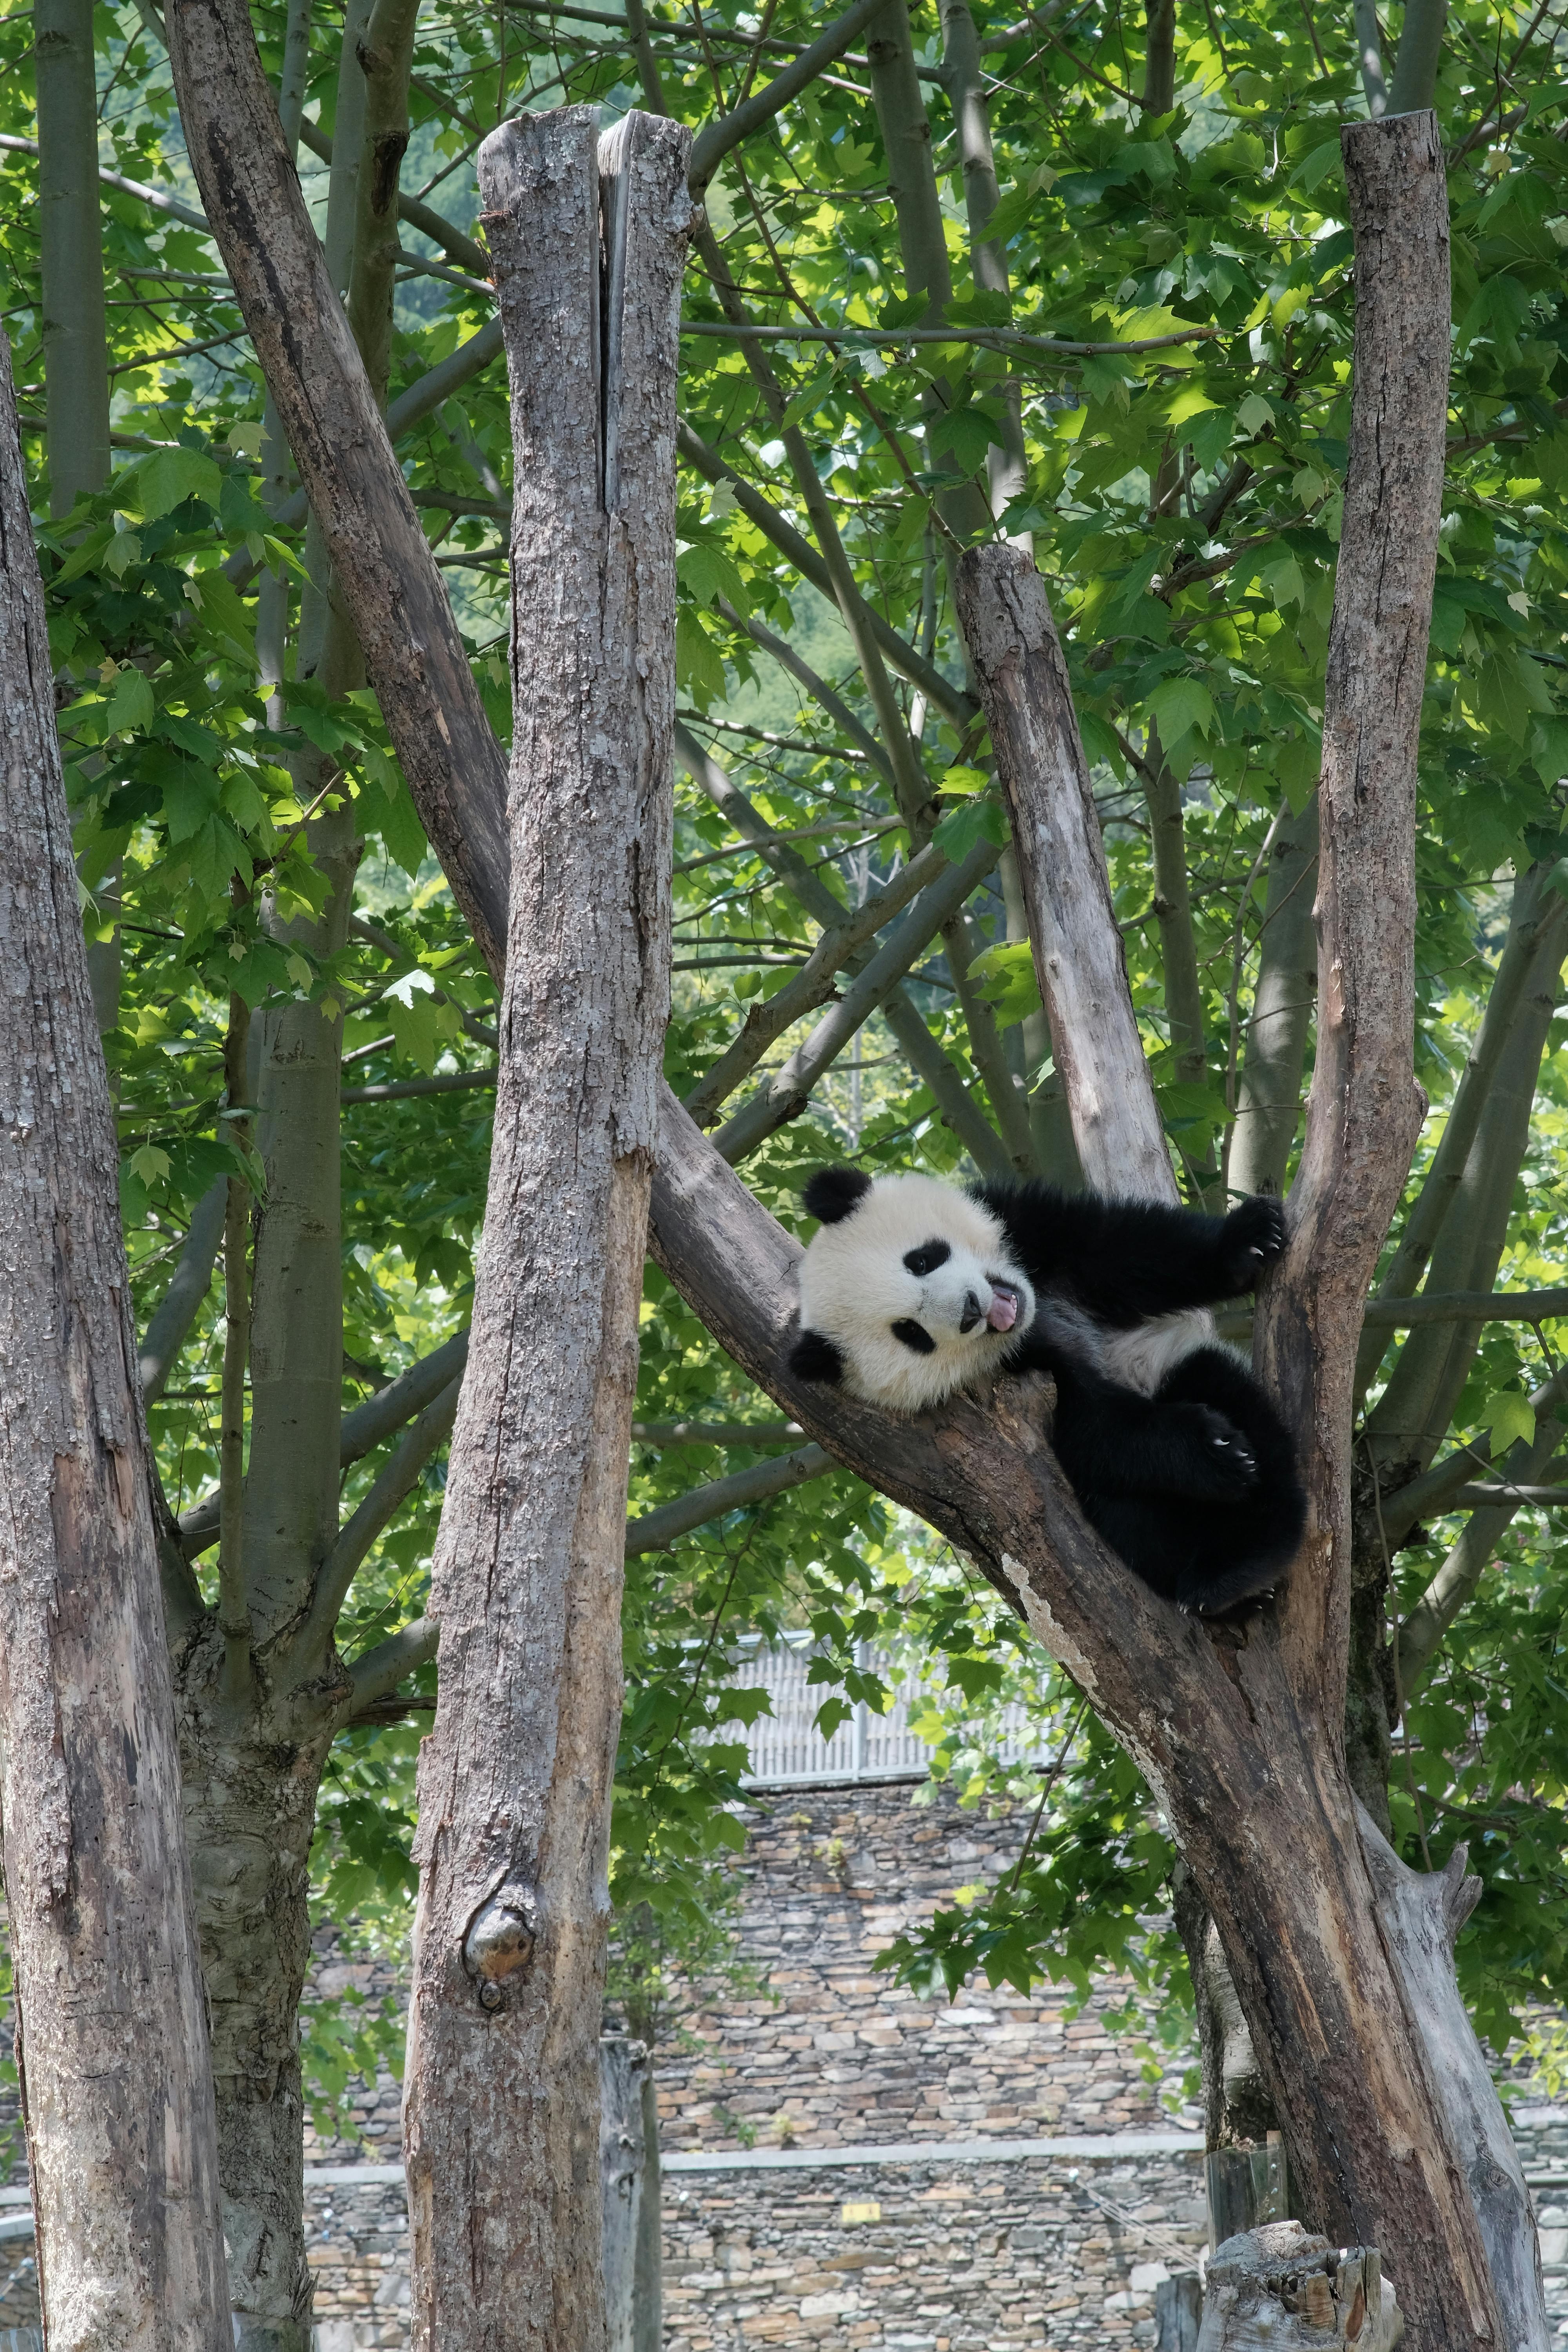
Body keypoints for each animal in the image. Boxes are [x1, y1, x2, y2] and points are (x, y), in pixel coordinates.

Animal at [788, 1165, 1306, 1617]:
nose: (971, 1310)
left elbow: (1126, 1249)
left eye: (920, 1260)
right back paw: (1226, 1583)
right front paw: (1205, 1448)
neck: (1034, 1313)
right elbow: (1091, 1426)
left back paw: (1238, 1559)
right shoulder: (1022, 1376)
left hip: (1168, 1365)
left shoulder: (1027, 1226)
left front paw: (1252, 1237)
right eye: (910, 1333)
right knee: (1130, 1509)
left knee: (1226, 1395)